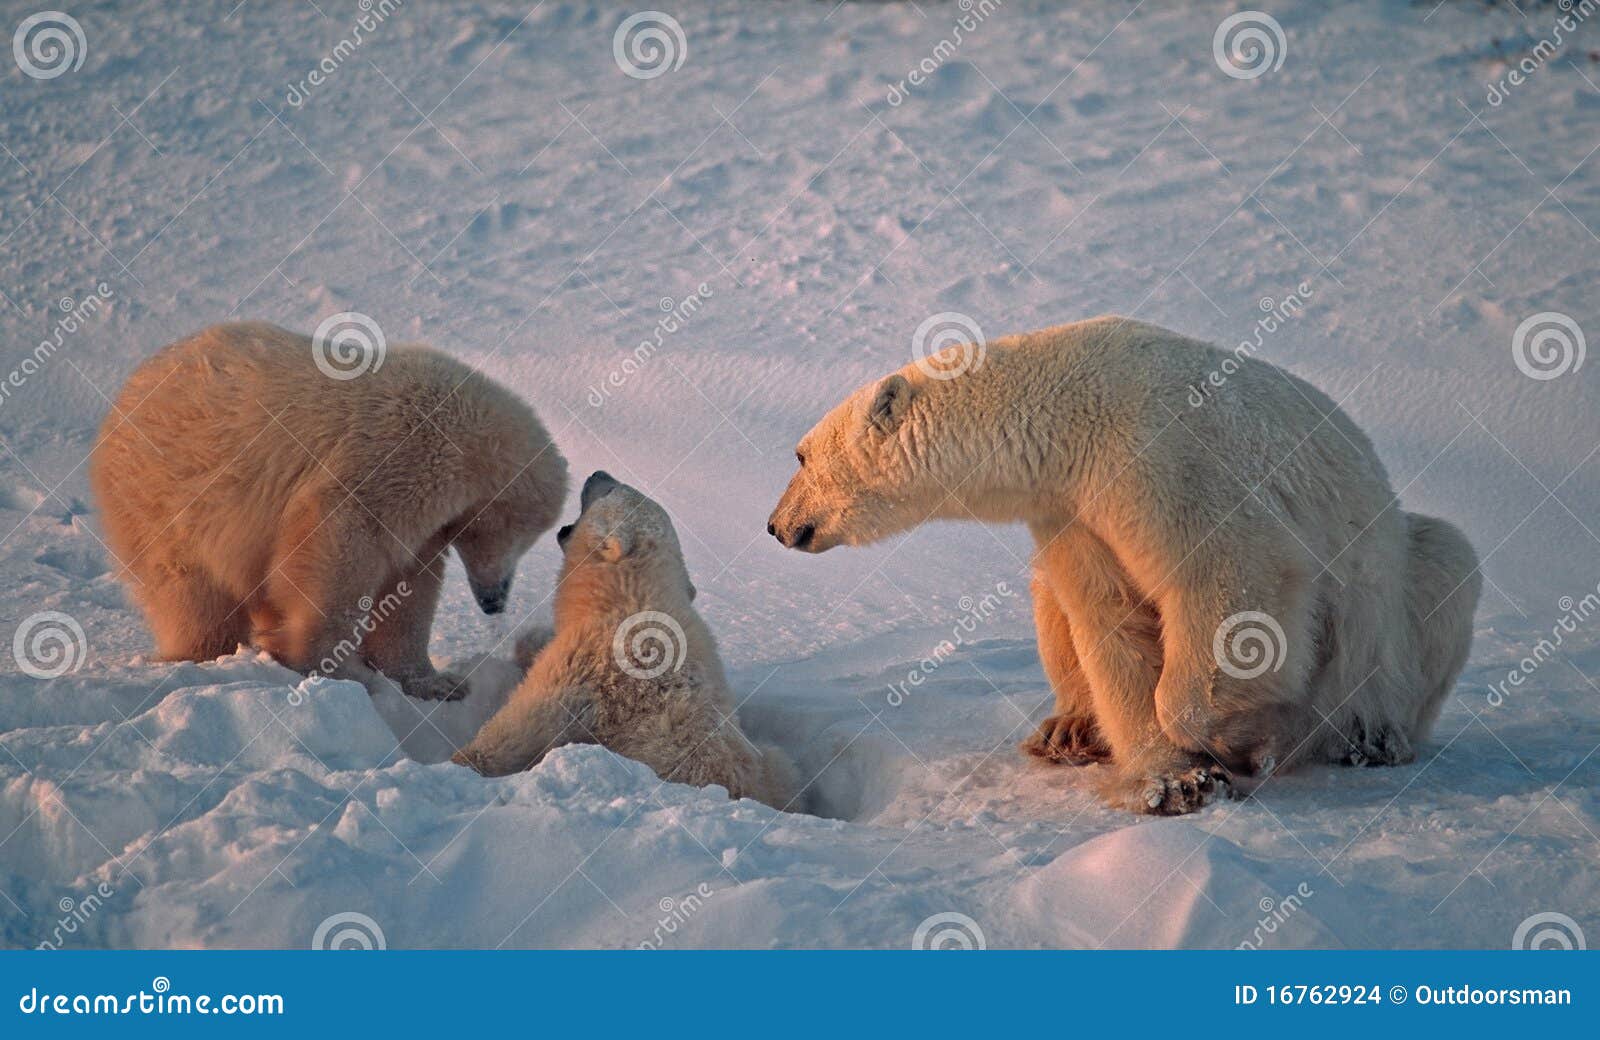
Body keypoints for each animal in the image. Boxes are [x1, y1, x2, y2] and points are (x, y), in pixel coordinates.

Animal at [89, 321, 568, 701]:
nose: (495, 600)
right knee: (191, 589)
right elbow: (337, 550)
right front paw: (335, 668)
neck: (464, 438)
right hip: (164, 491)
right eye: (517, 535)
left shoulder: (427, 523)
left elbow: (408, 587)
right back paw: (203, 653)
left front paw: (437, 683)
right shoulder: (394, 460)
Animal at [453, 471, 799, 813]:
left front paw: (462, 763)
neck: (630, 598)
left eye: (612, 490)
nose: (597, 473)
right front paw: (530, 640)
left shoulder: (591, 666)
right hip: (774, 766)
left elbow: (524, 723)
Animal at [767, 315, 1480, 815]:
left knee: (1439, 569)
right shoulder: (1074, 509)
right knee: (1048, 603)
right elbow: (1108, 618)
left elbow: (1228, 583)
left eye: (800, 455)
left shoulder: (1167, 459)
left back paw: (1371, 738)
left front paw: (1237, 742)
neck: (1068, 415)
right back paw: (1067, 731)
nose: (774, 525)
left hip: (1394, 573)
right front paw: (1175, 781)